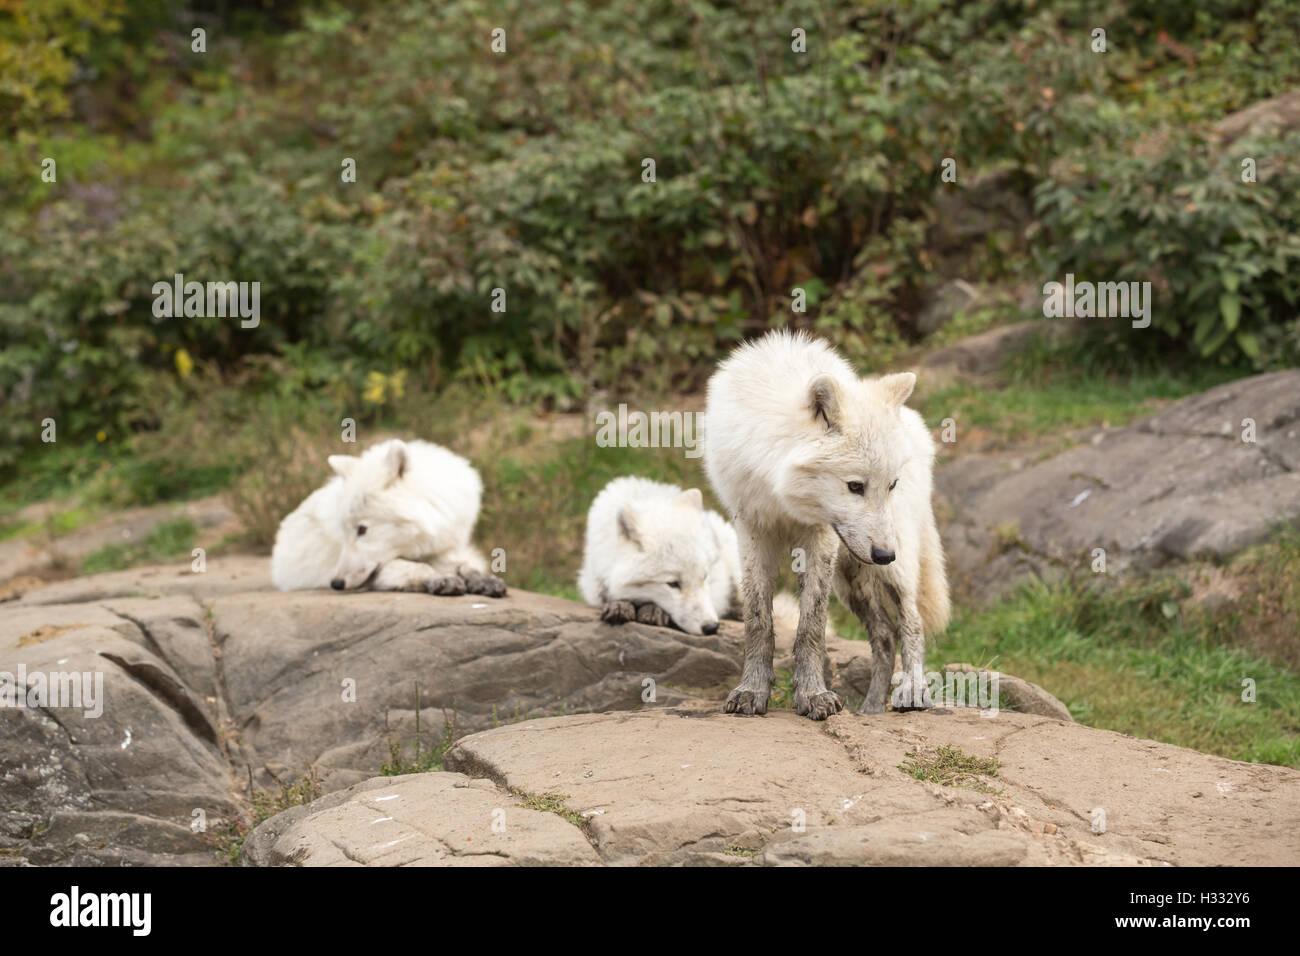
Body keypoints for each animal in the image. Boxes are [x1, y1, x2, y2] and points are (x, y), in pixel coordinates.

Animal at [270, 438, 506, 597]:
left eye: (362, 529)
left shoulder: (441, 547)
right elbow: (410, 567)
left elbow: (463, 564)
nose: (336, 583)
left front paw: (483, 579)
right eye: (343, 532)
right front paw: (440, 579)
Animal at [703, 329, 950, 719]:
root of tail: (914, 421)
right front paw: (752, 691)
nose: (884, 554)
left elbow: (812, 626)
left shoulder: (821, 538)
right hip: (854, 577)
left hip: (891, 566)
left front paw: (813, 695)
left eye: (890, 485)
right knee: (884, 635)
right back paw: (871, 710)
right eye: (855, 486)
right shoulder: (752, 530)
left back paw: (912, 691)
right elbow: (758, 620)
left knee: (911, 623)